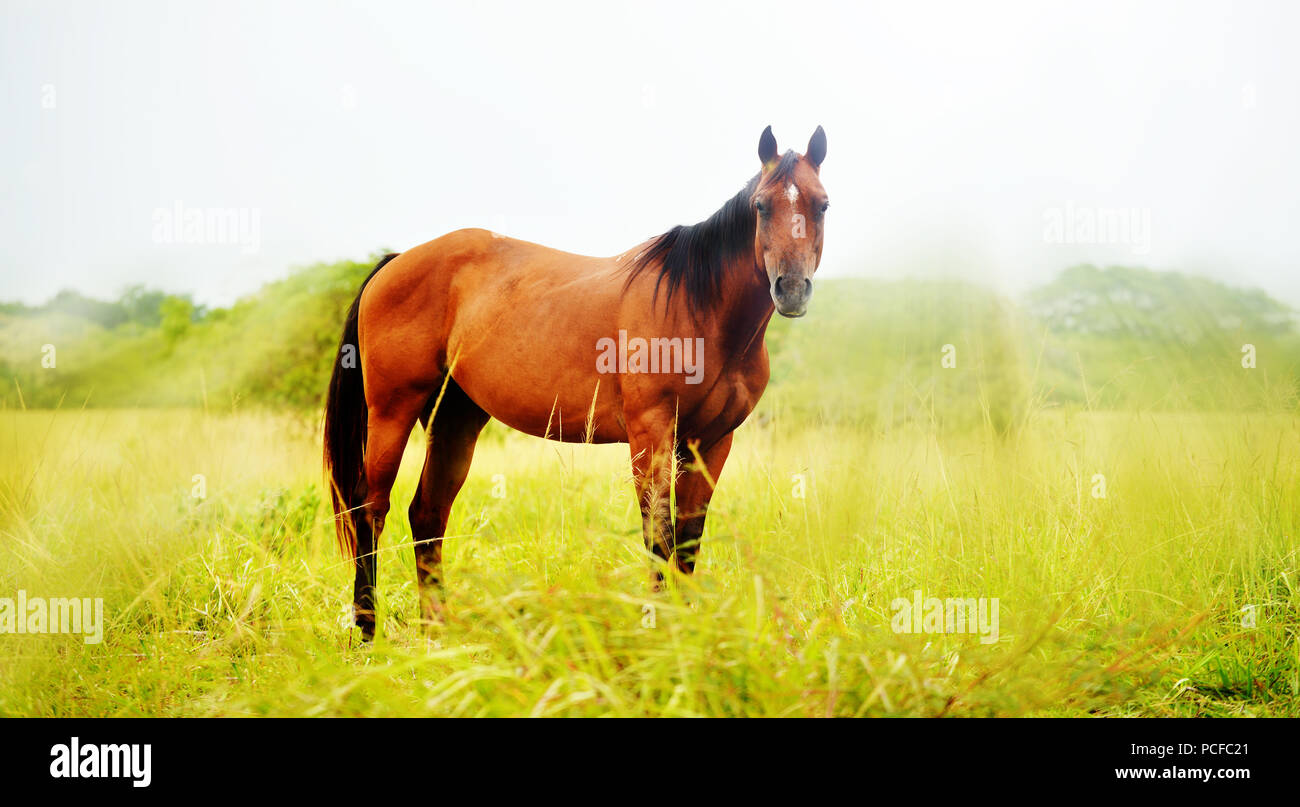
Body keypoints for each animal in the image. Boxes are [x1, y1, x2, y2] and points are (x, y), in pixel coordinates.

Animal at [323, 125, 829, 639]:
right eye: (761, 206)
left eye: (822, 204)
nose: (791, 289)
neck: (697, 307)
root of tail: (396, 261)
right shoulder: (650, 432)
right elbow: (658, 534)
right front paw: (658, 629)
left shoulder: (712, 441)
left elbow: (688, 538)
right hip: (392, 410)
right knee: (369, 509)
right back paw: (367, 633)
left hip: (455, 418)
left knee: (427, 514)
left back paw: (438, 632)